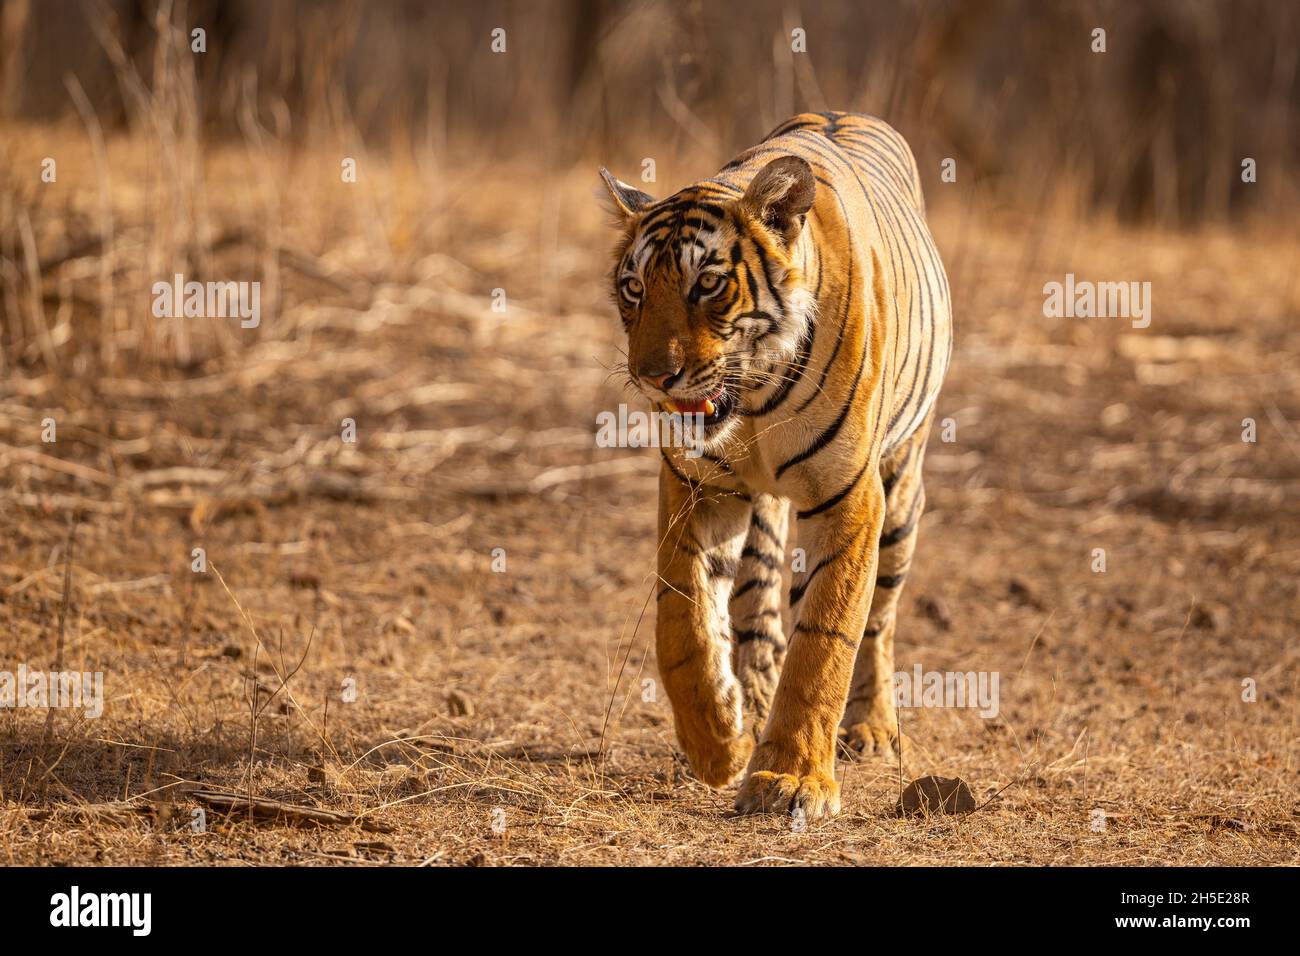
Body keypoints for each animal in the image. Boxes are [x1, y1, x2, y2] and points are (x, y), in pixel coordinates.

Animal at [599, 111, 952, 819]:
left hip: (902, 492)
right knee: (755, 609)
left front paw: (791, 779)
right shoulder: (696, 484)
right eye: (633, 288)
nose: (652, 377)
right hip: (761, 511)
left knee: (881, 620)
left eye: (707, 284)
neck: (756, 397)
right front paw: (716, 744)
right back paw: (749, 705)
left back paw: (870, 728)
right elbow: (682, 622)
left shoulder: (851, 497)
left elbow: (825, 643)